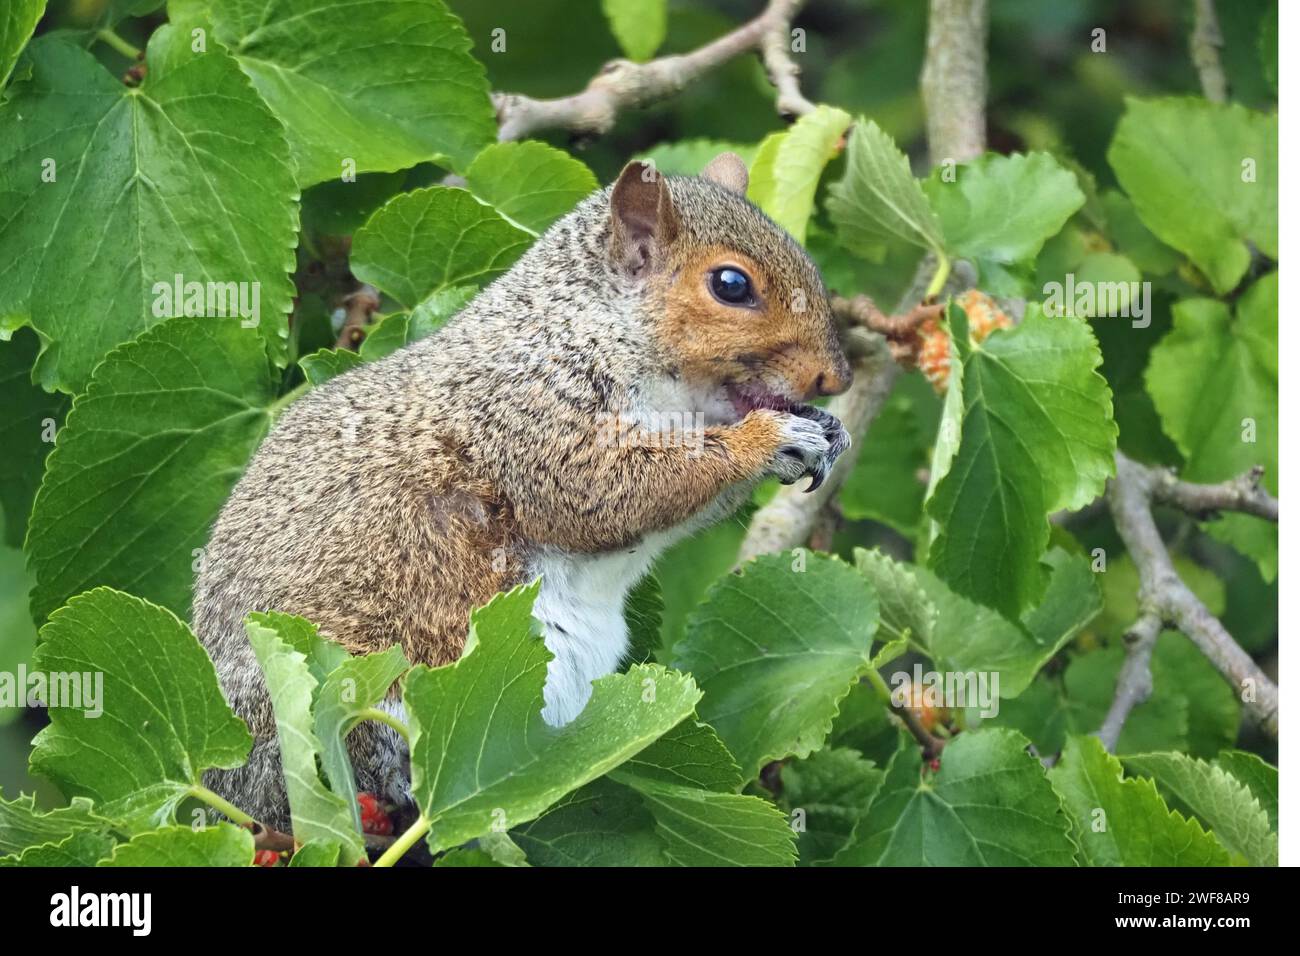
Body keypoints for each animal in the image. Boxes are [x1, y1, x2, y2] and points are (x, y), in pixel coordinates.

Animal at [192, 153, 853, 833]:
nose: (837, 378)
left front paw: (827, 429)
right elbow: (603, 488)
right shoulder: (529, 411)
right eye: (731, 285)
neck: (596, 323)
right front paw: (766, 439)